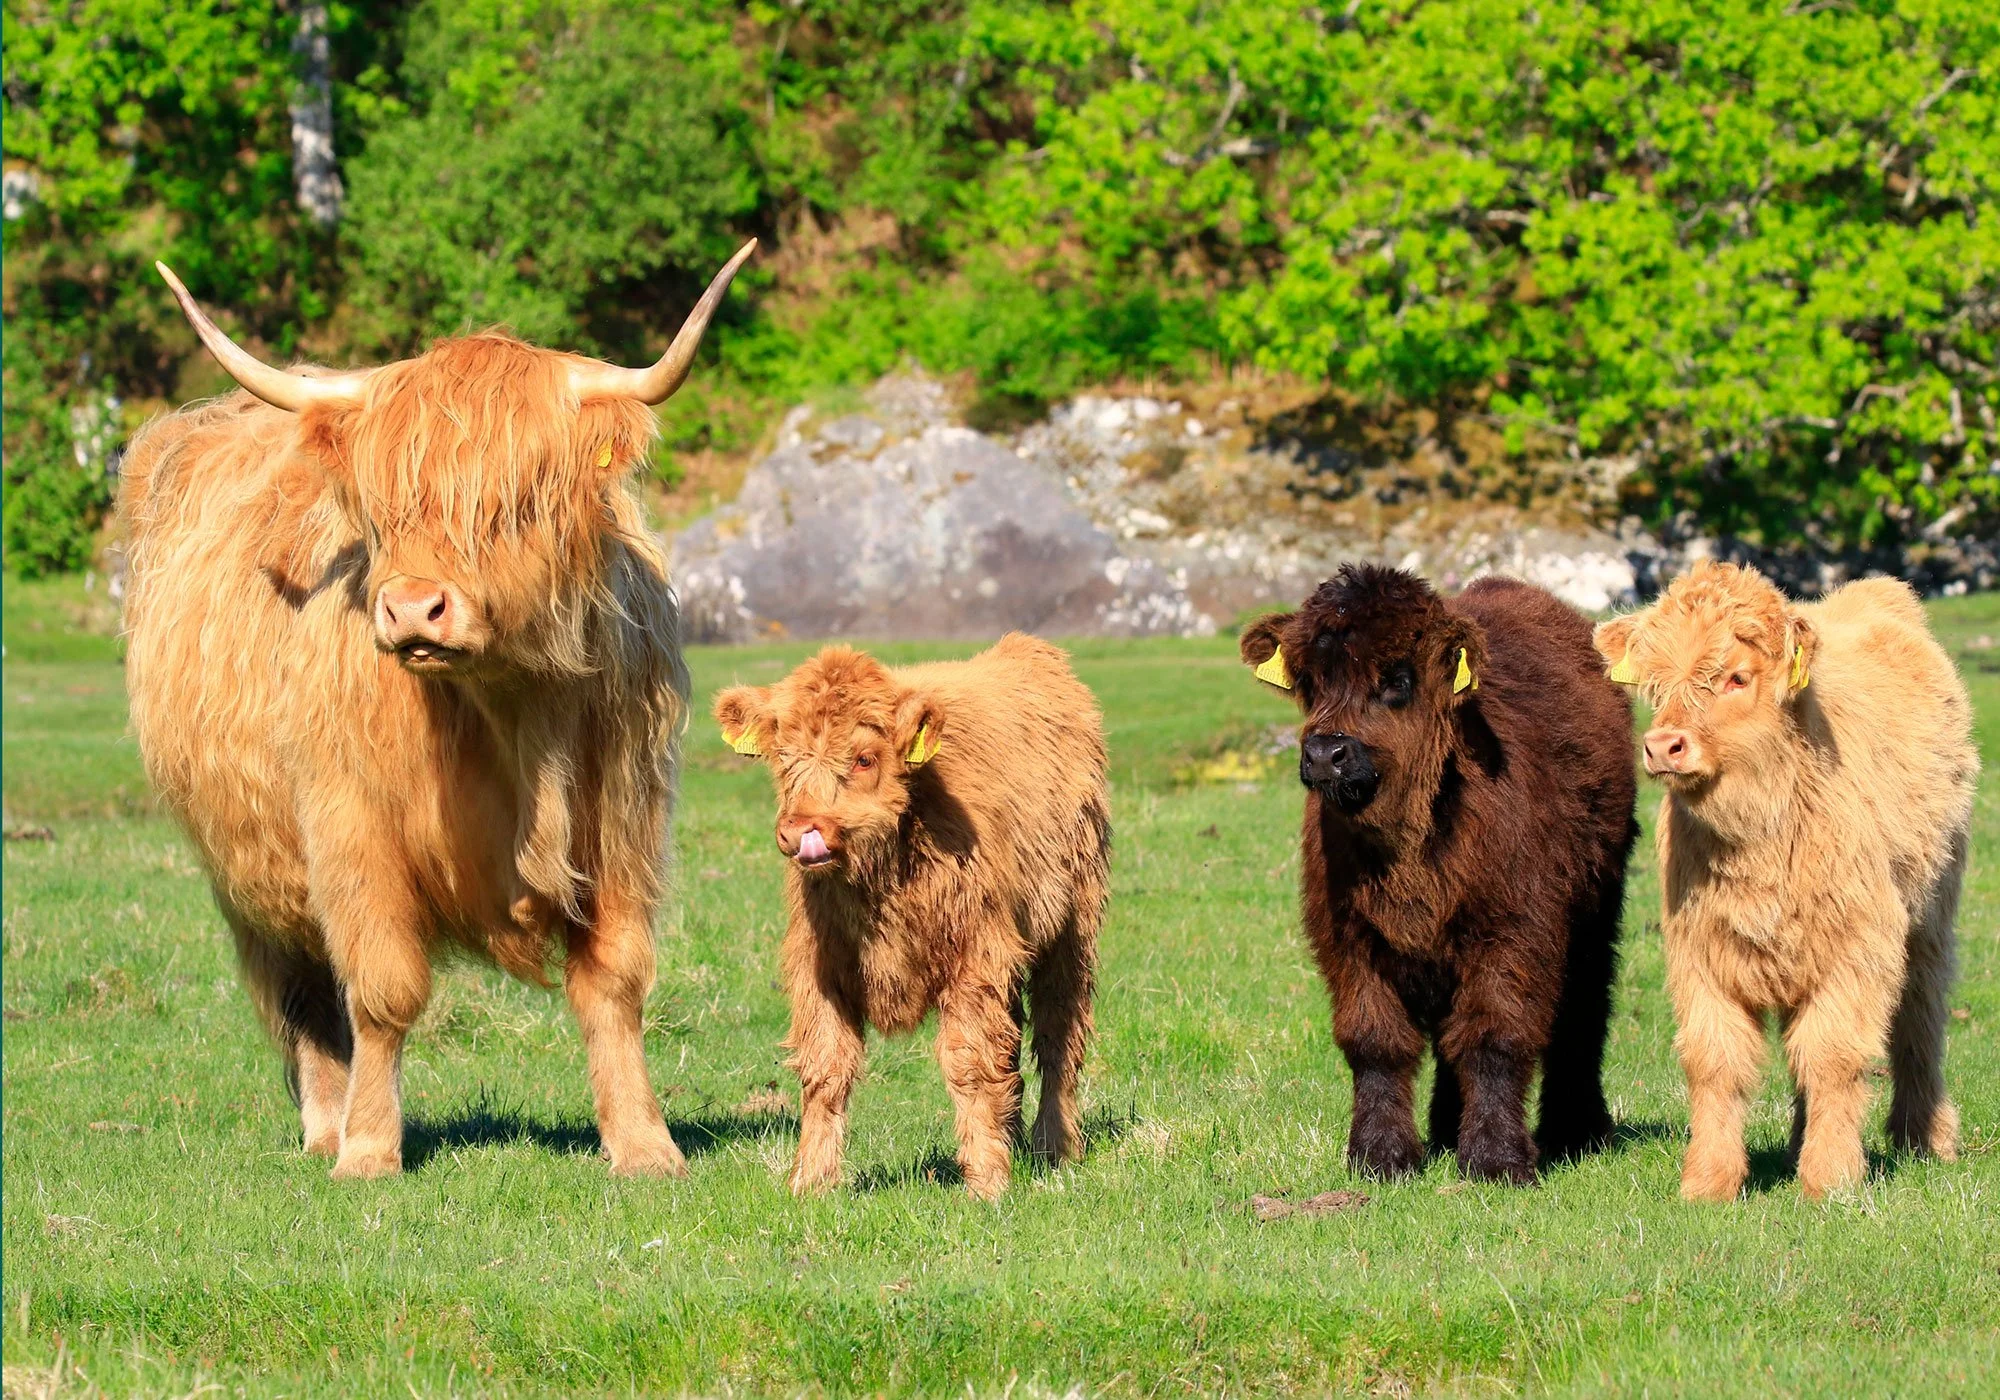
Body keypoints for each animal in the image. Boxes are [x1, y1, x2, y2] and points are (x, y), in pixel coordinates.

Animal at [119, 242, 756, 1179]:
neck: (515, 711)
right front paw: (368, 1150)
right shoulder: (350, 825)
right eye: (385, 510)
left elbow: (614, 982)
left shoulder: (625, 820)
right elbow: (384, 992)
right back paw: (326, 1125)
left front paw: (644, 1145)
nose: (413, 609)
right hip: (246, 863)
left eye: (512, 501)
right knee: (303, 992)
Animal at [713, 634, 1109, 1200]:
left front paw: (987, 1181)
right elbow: (825, 1068)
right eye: (783, 758)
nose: (801, 829)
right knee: (1012, 1046)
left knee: (1058, 1038)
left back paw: (1054, 1146)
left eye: (863, 758)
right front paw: (812, 1180)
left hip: (1071, 930)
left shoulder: (974, 958)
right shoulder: (819, 964)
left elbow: (970, 1065)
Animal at [1241, 567, 1636, 1184]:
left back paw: (1576, 1129)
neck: (1406, 855)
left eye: (1398, 679)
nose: (1326, 754)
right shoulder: (1348, 938)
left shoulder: (1515, 931)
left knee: (1583, 1012)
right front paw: (1380, 1155)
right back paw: (1448, 1129)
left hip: (1596, 909)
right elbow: (1375, 1042)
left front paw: (1497, 1158)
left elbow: (1496, 1036)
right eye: (1309, 680)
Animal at [1594, 562, 1975, 1201]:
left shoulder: (1856, 948)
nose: (1664, 746)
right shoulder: (1701, 950)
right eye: (1656, 684)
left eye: (1736, 677)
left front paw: (1831, 1180)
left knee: (1919, 1024)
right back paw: (1801, 1139)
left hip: (1930, 918)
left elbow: (1834, 1057)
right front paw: (1708, 1181)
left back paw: (1926, 1137)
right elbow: (1715, 1061)